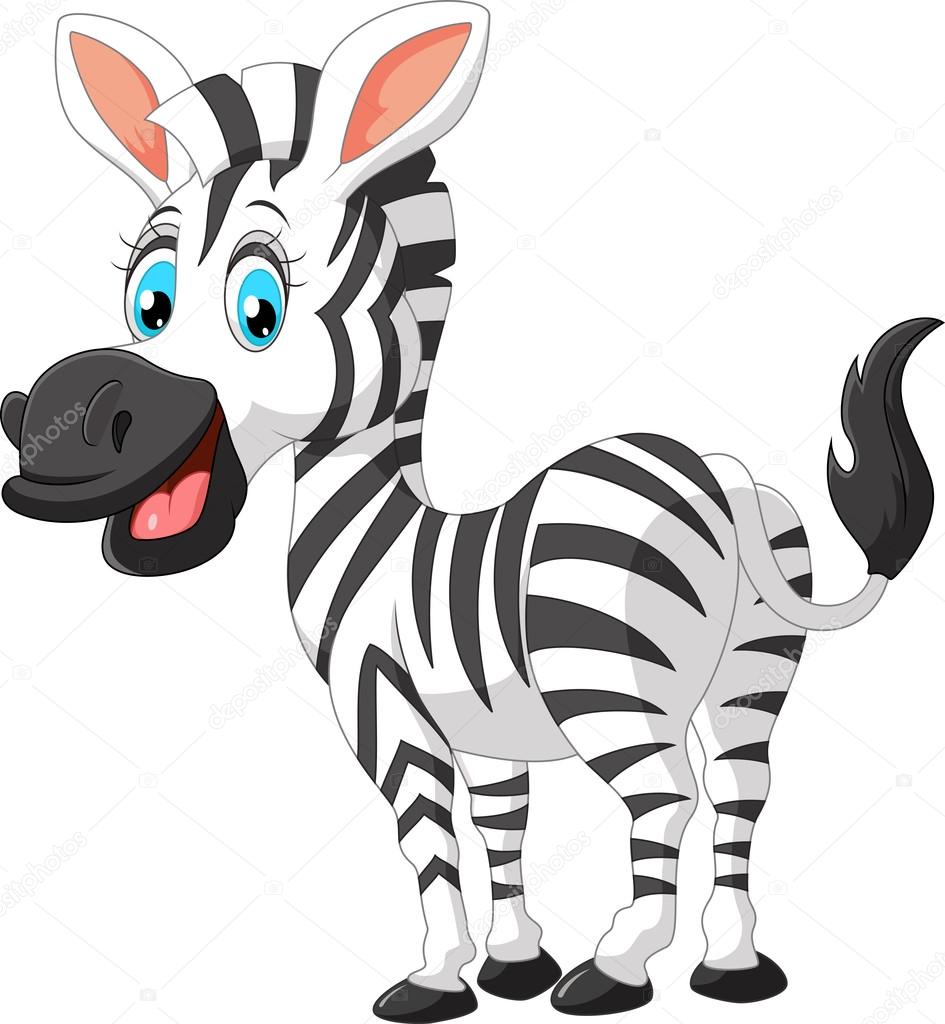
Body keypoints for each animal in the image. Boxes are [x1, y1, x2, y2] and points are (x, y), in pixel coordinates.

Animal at [0, 4, 937, 1020]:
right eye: (151, 302)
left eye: (259, 310)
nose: (54, 422)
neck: (373, 526)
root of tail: (711, 475)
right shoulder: (484, 721)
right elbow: (501, 829)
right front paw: (511, 965)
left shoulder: (379, 700)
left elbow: (425, 830)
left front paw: (435, 980)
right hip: (754, 670)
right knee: (741, 791)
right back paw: (732, 969)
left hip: (601, 675)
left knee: (666, 796)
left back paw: (617, 967)